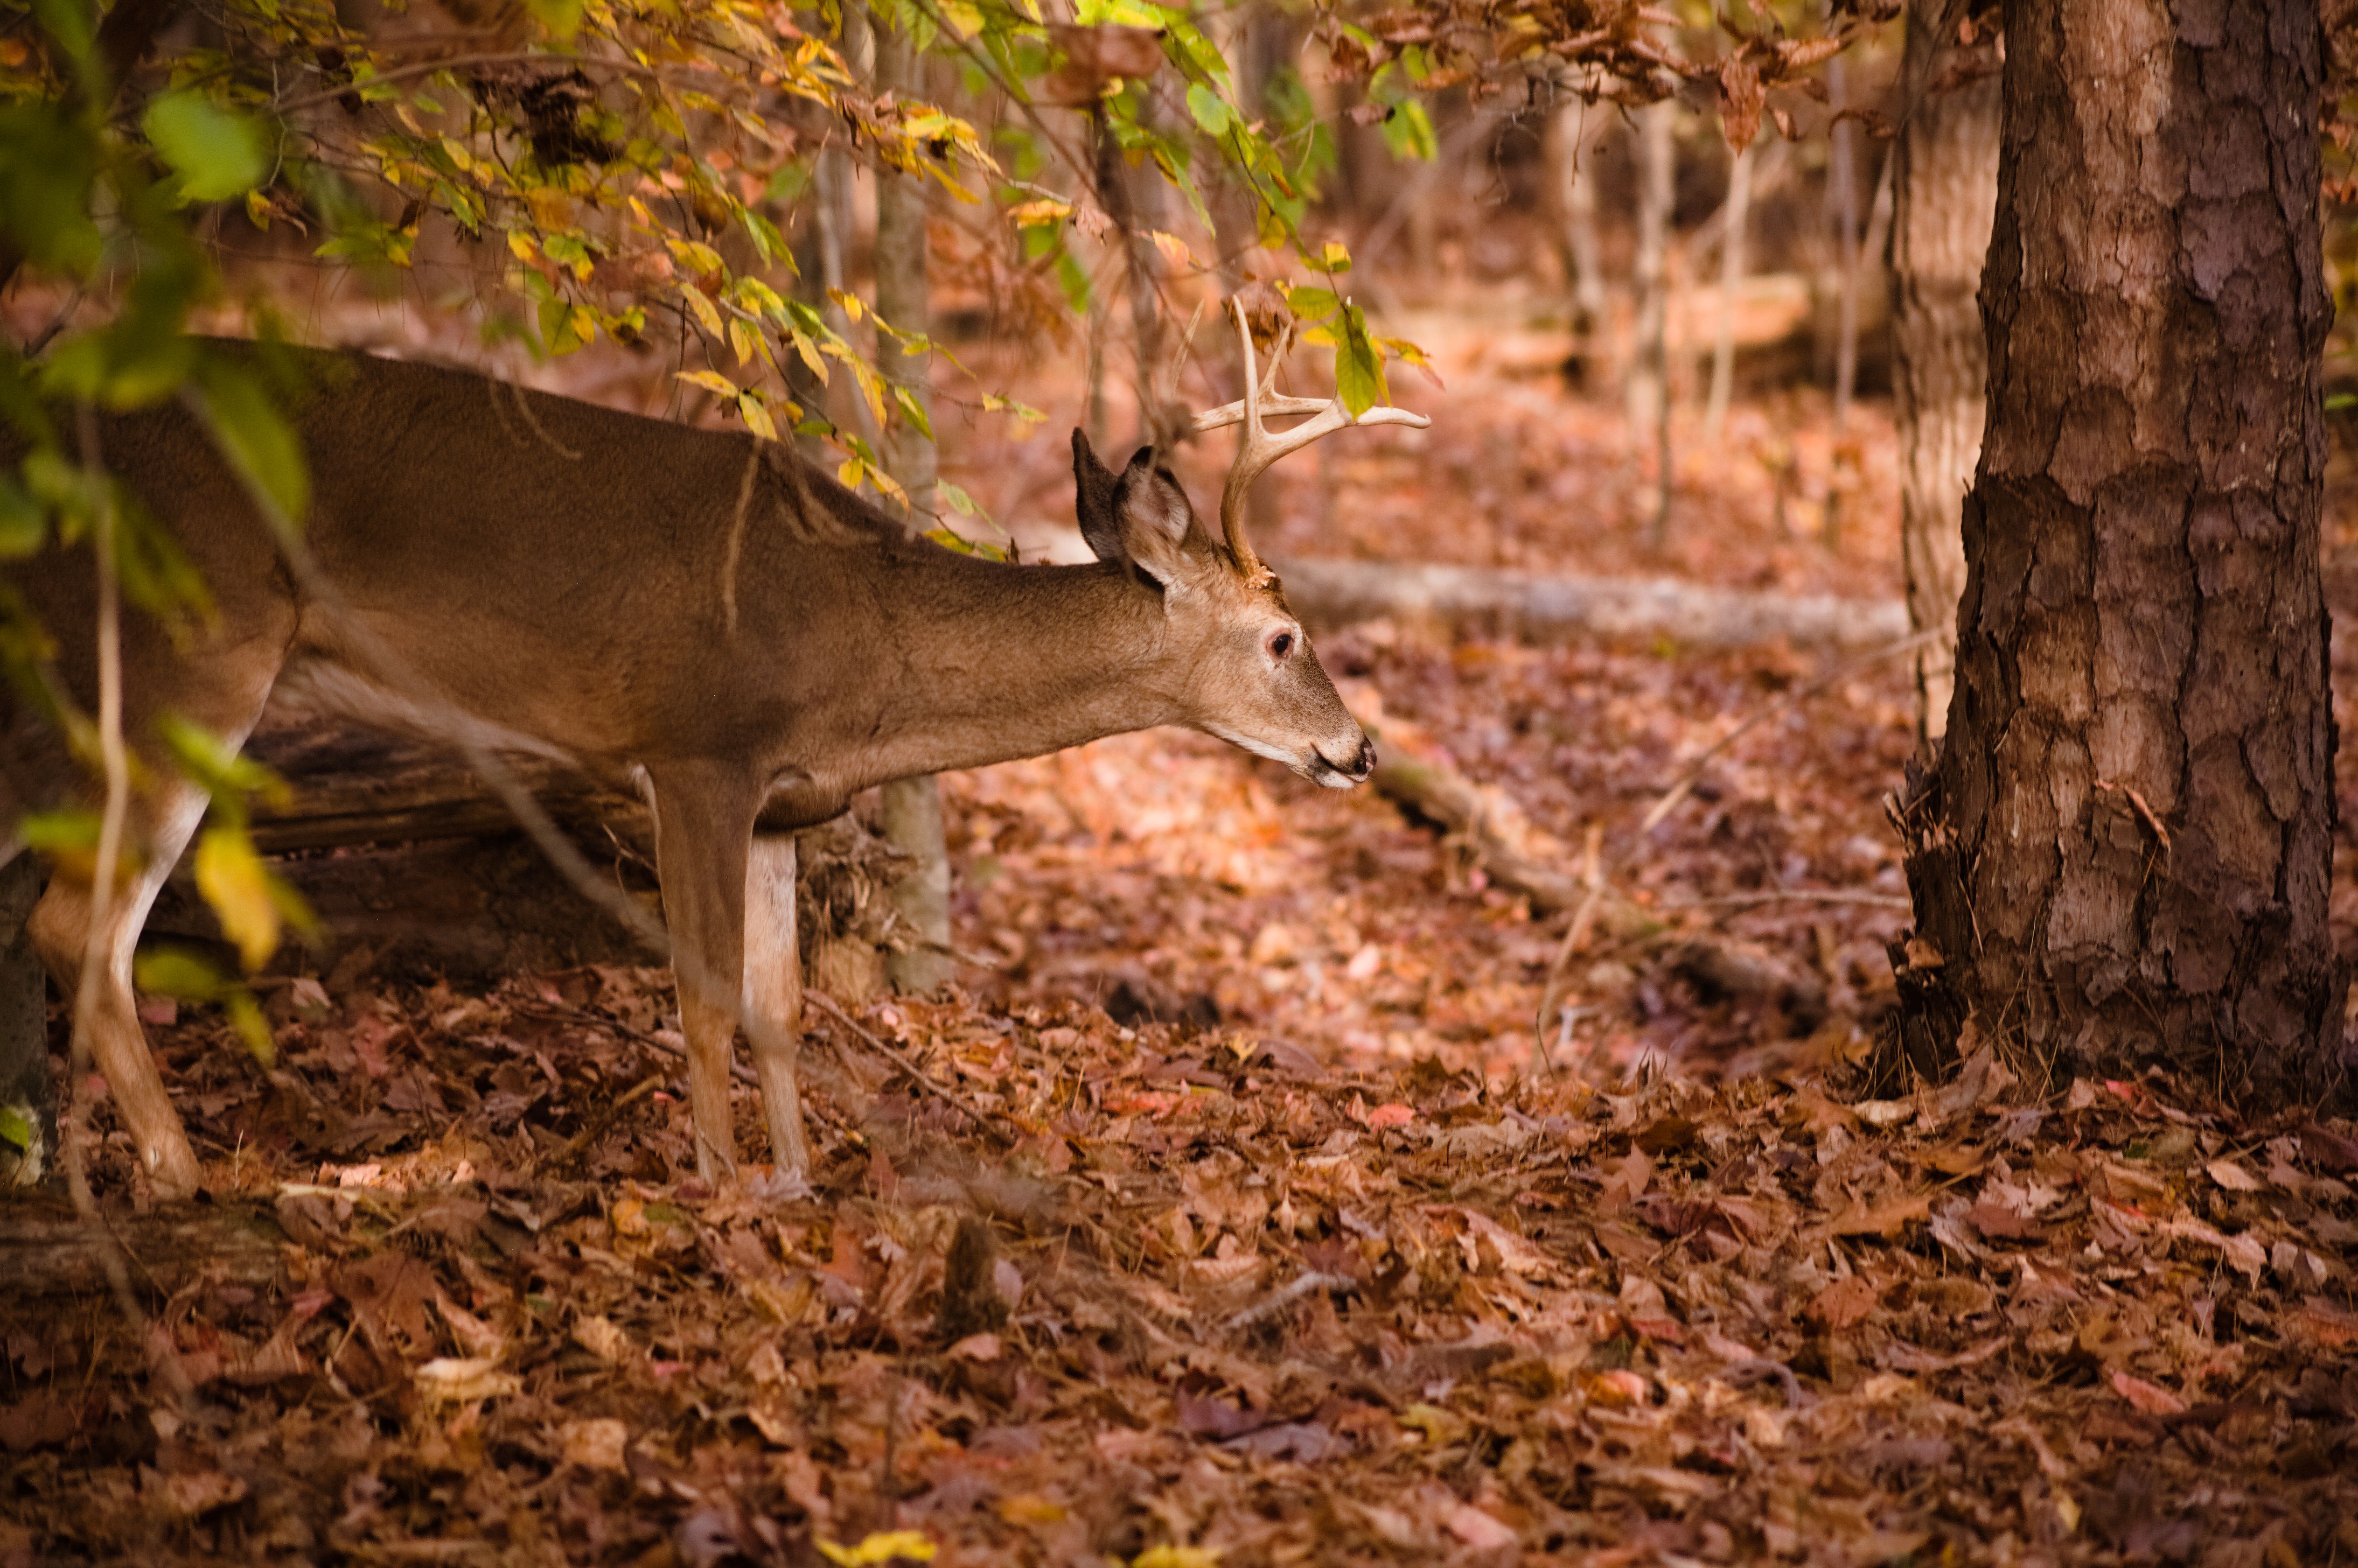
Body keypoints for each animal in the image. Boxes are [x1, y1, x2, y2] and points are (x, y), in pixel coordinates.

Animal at [0, 302, 1428, 1198]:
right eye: (1286, 636)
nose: (1360, 752)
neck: (863, 649)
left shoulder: (786, 806)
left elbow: (780, 1007)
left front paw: (795, 1184)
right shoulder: (694, 750)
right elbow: (696, 992)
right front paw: (722, 1188)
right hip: (190, 650)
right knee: (83, 925)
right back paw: (187, 1181)